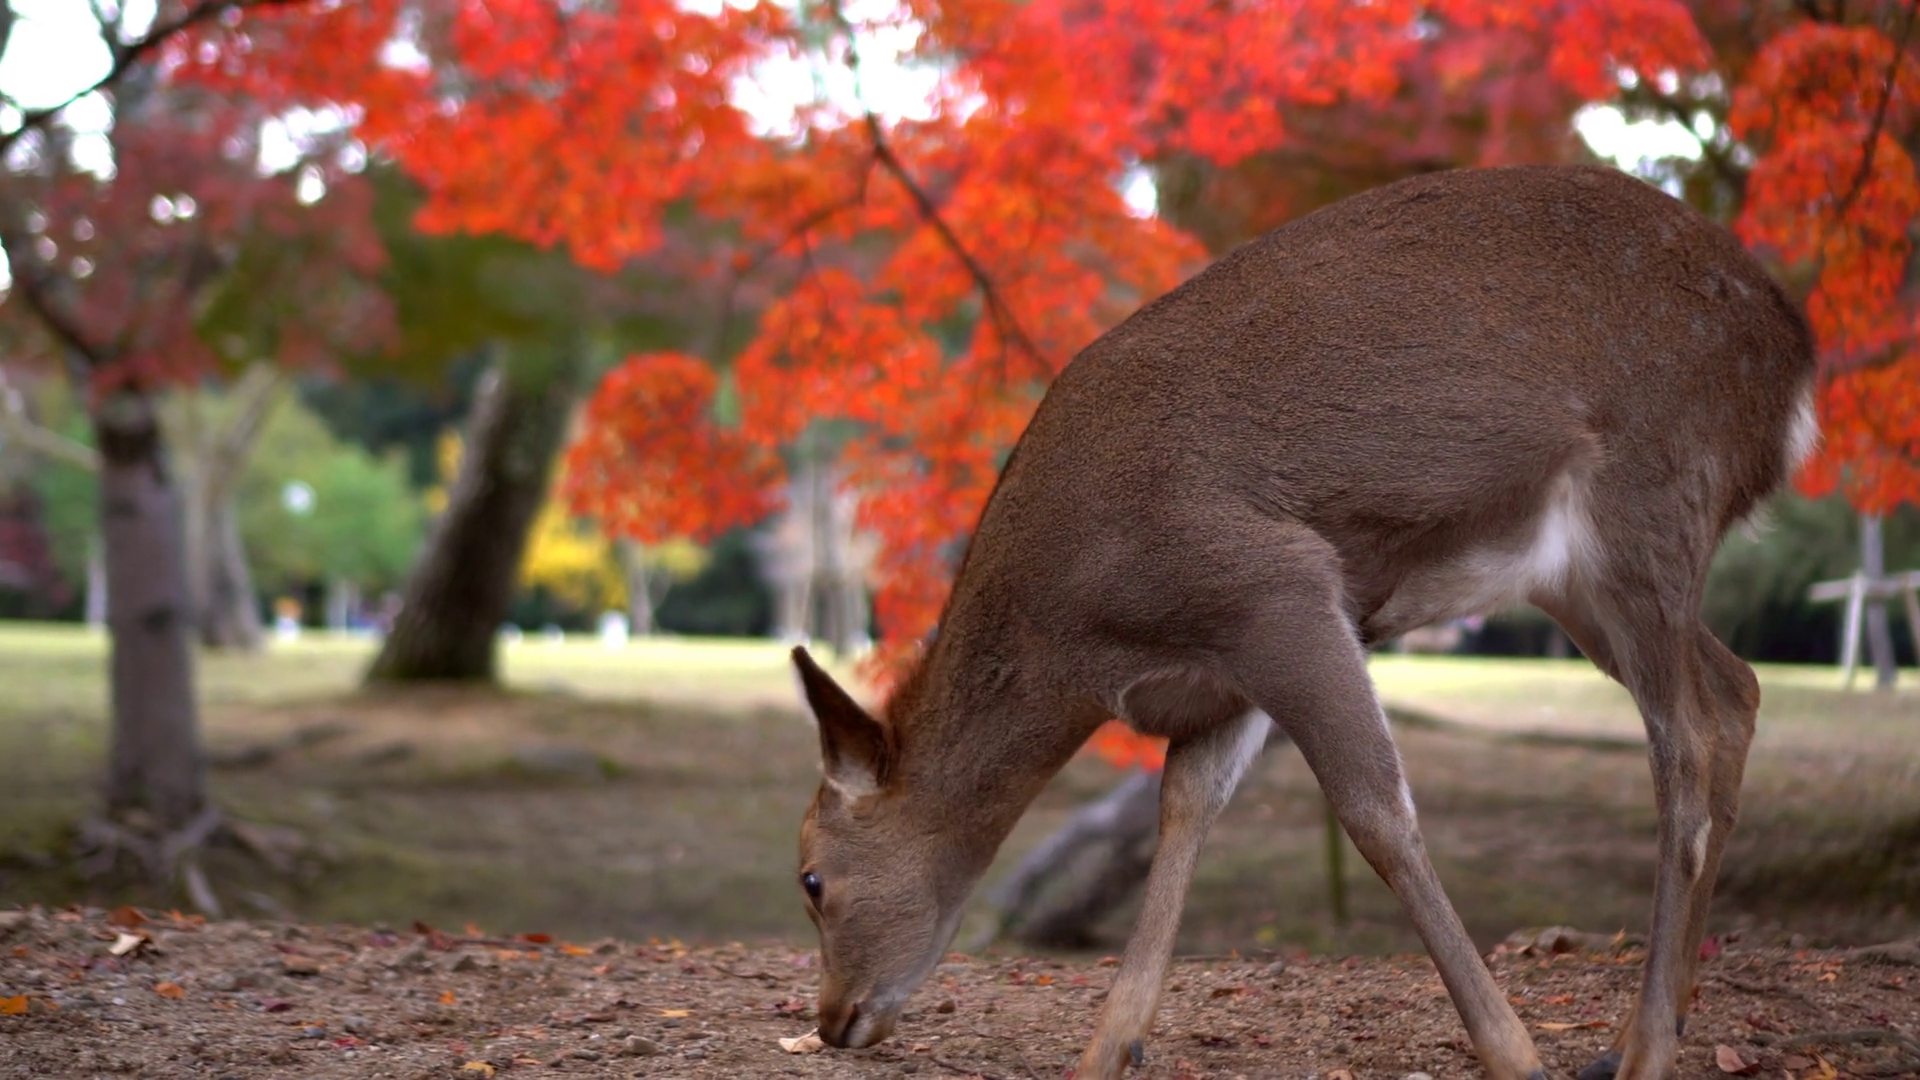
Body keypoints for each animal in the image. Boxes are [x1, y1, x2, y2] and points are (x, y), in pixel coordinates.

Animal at [788, 163, 1818, 1080]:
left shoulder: (1273, 586)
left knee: (1684, 742)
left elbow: (1377, 814)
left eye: (811, 877)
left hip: (1652, 494)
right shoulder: (1223, 677)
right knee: (1738, 689)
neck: (1080, 642)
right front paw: (1105, 1051)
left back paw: (1644, 1051)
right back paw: (1658, 1024)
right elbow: (1185, 811)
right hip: (1577, 581)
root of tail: (1793, 358)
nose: (835, 1020)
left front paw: (1515, 1055)